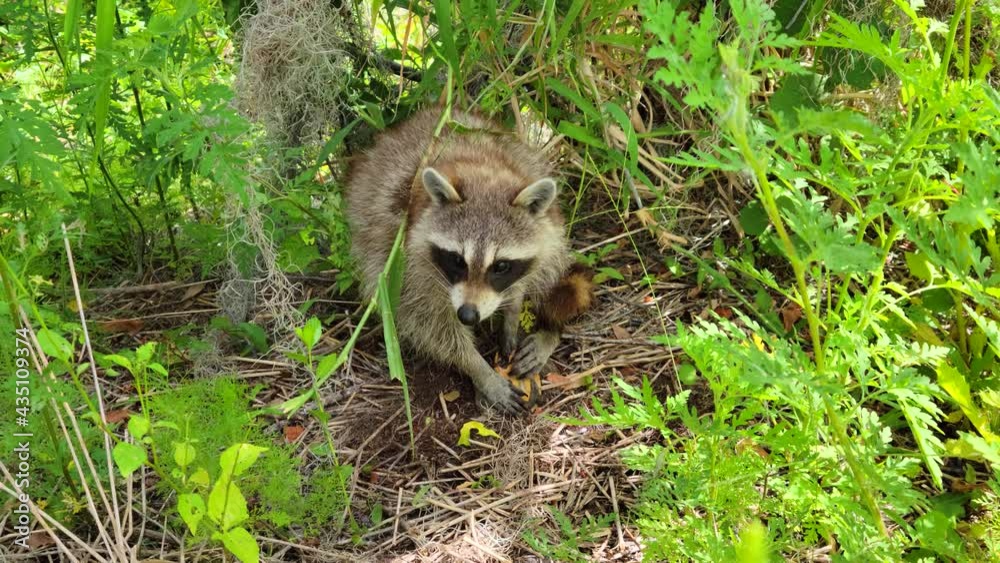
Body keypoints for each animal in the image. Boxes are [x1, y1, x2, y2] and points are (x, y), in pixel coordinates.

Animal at [346, 108, 592, 414]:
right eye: (457, 260)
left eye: (501, 266)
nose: (468, 315)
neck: (477, 166)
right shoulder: (400, 255)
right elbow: (427, 321)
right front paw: (477, 367)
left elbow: (534, 269)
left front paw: (514, 305)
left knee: (552, 268)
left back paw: (549, 330)